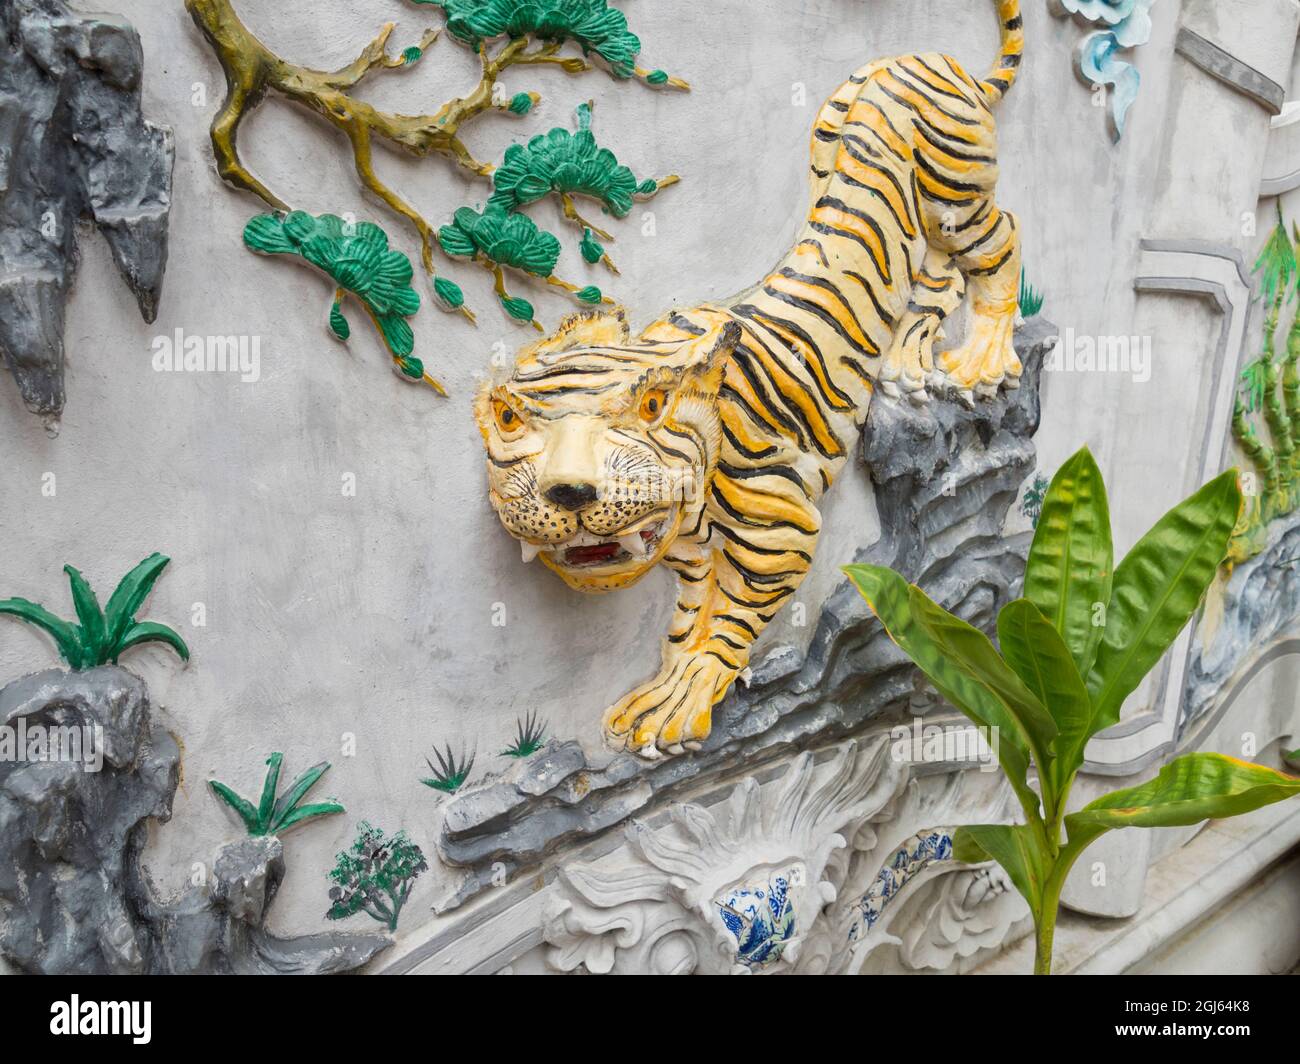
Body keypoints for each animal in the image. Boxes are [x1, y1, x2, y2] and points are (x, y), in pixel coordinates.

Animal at [475, 0, 1026, 758]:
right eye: (509, 418)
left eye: (650, 406)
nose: (569, 491)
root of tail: (923, 56)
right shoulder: (691, 551)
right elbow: (685, 622)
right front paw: (654, 697)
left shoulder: (781, 527)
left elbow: (727, 621)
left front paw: (679, 707)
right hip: (838, 143)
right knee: (936, 277)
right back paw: (910, 369)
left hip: (955, 189)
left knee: (1001, 237)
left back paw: (982, 363)